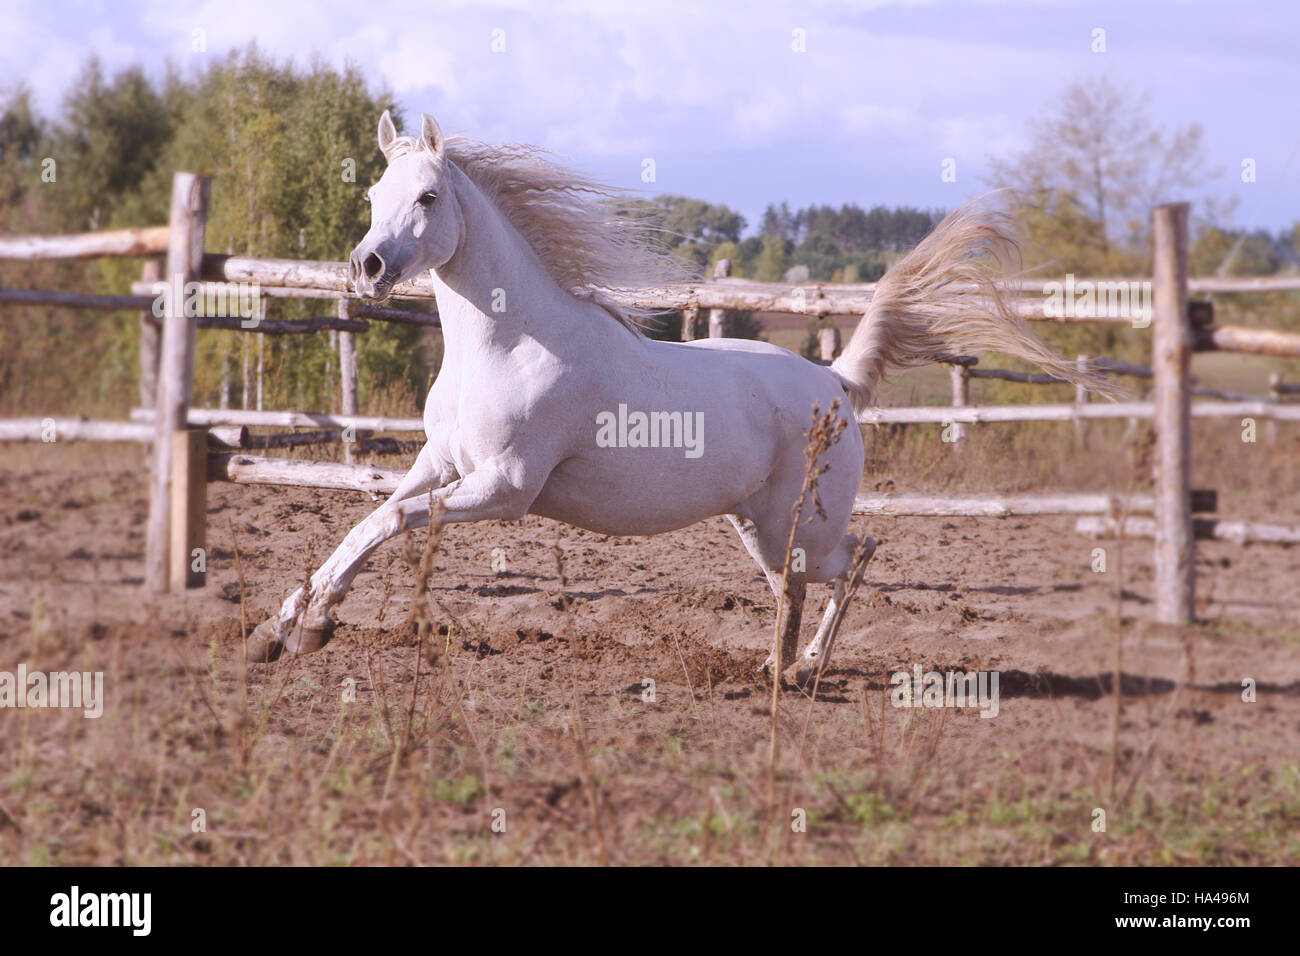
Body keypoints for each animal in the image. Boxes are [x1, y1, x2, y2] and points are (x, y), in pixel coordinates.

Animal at [246, 110, 1107, 681]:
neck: (508, 344)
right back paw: (780, 663)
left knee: (858, 558)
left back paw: (802, 669)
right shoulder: (440, 466)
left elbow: (387, 522)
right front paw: (284, 624)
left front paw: (309, 626)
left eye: (427, 197)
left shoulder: (504, 490)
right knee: (803, 580)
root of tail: (836, 382)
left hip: (805, 522)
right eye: (372, 195)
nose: (366, 268)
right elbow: (363, 523)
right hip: (760, 529)